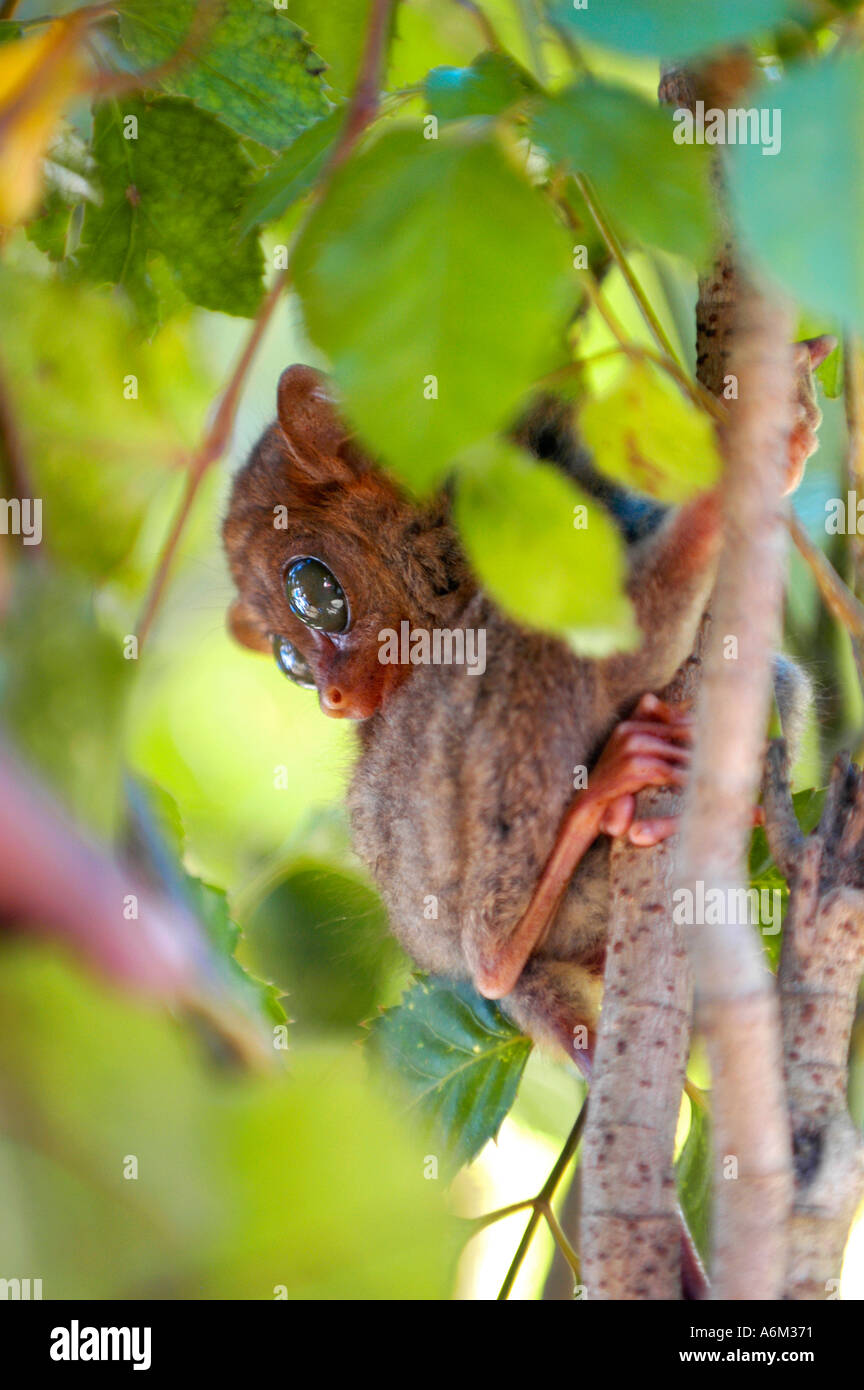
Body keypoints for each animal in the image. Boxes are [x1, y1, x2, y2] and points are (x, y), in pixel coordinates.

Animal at [222, 338, 832, 1072]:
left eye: (315, 595)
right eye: (293, 662)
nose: (334, 700)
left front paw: (794, 397)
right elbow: (621, 645)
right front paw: (746, 472)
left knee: (780, 680)